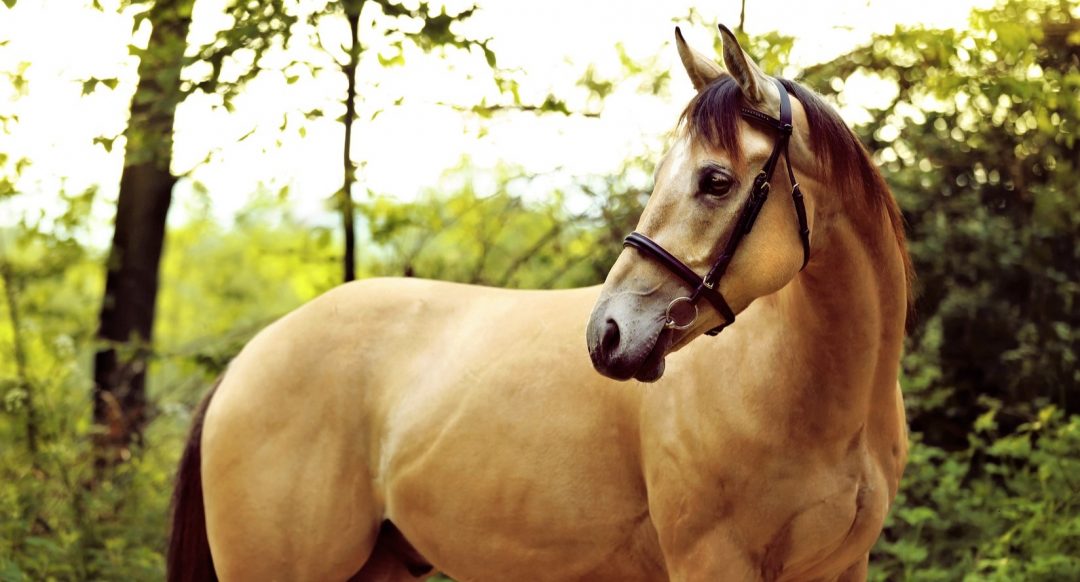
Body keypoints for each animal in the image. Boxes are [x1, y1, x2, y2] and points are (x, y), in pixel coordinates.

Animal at [168, 25, 912, 582]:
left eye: (716, 180)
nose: (608, 334)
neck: (807, 396)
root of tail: (243, 365)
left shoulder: (841, 569)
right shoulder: (713, 564)